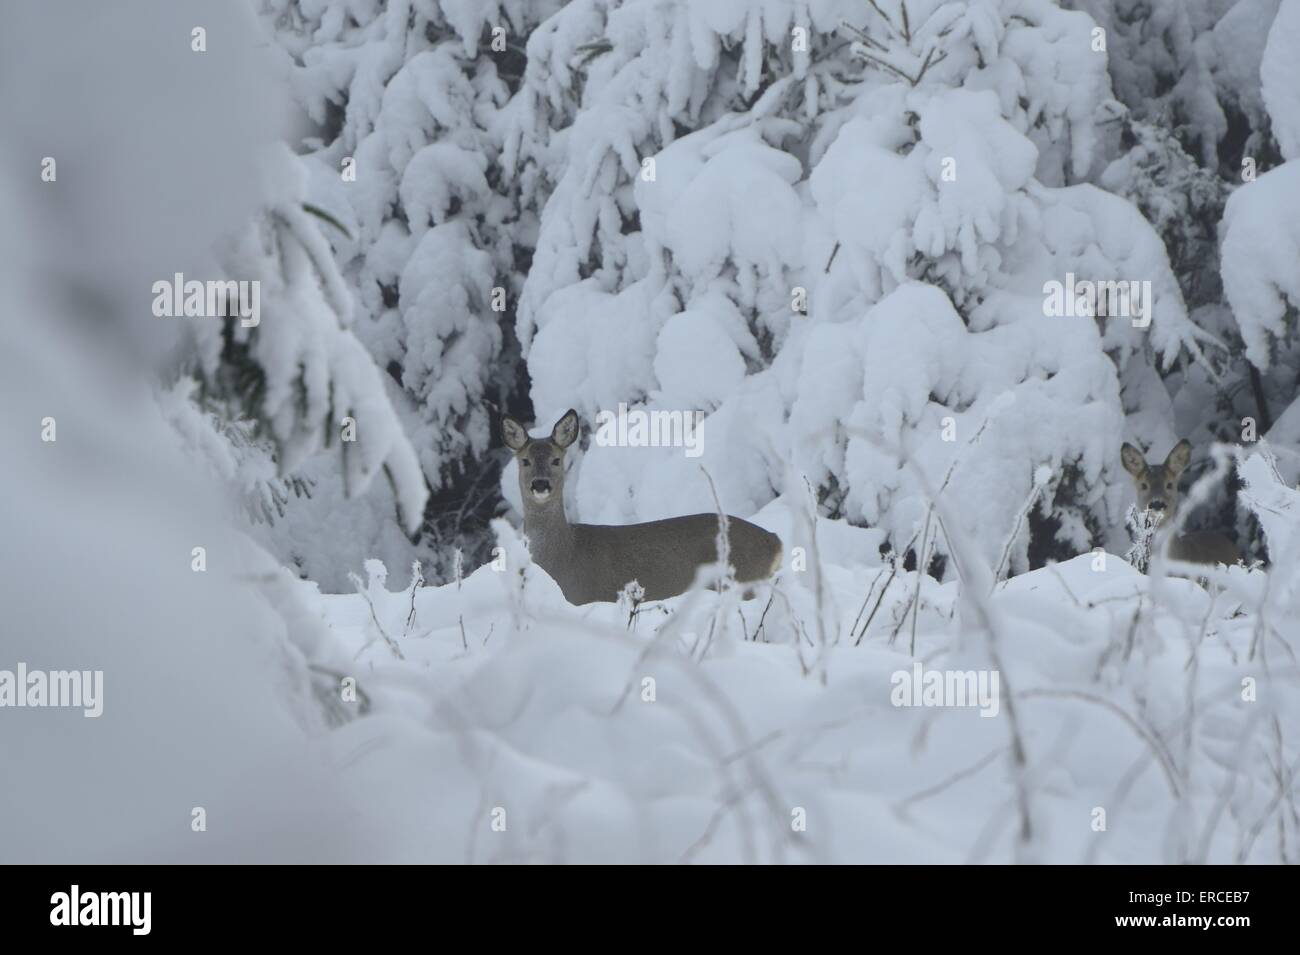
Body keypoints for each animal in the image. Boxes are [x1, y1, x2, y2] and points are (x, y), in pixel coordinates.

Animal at [501, 409, 783, 605]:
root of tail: (774, 541)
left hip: (742, 582)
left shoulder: (583, 597)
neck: (563, 556)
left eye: (556, 460)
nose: (540, 483)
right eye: (524, 461)